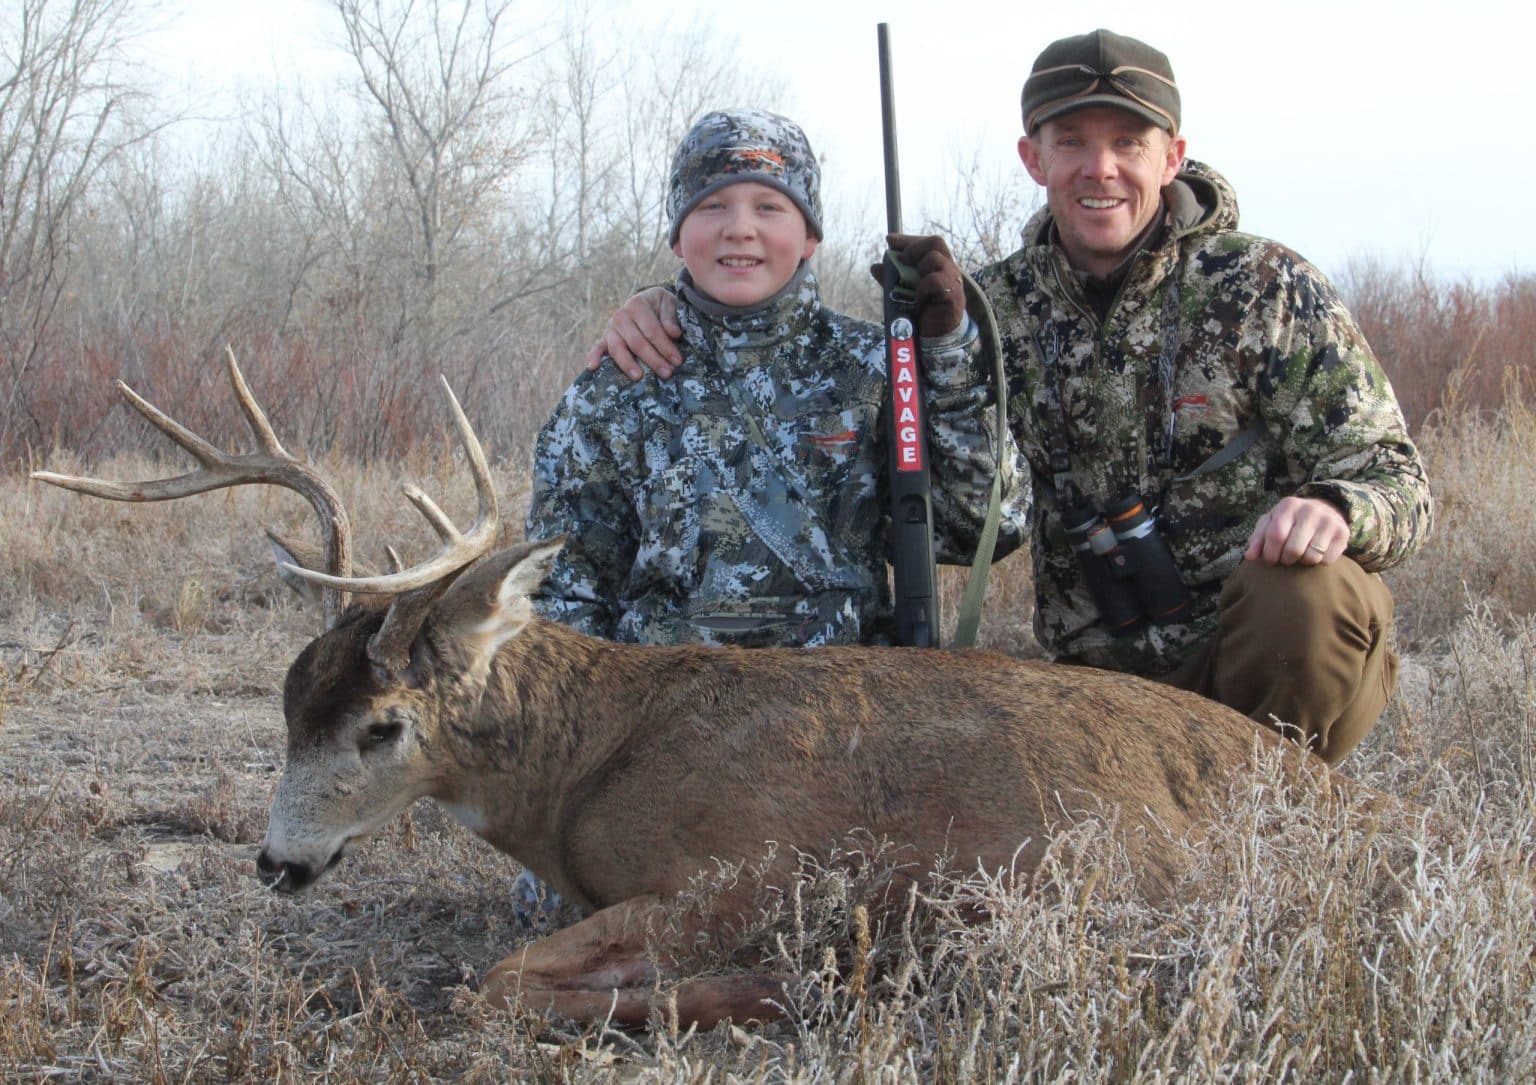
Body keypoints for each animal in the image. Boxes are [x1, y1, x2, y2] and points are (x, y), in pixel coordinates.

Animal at [35, 350, 1355, 1031]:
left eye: (382, 723)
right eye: (284, 706)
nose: (276, 860)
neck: (585, 764)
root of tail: (1347, 807)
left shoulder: (742, 868)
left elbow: (500, 984)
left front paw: (762, 984)